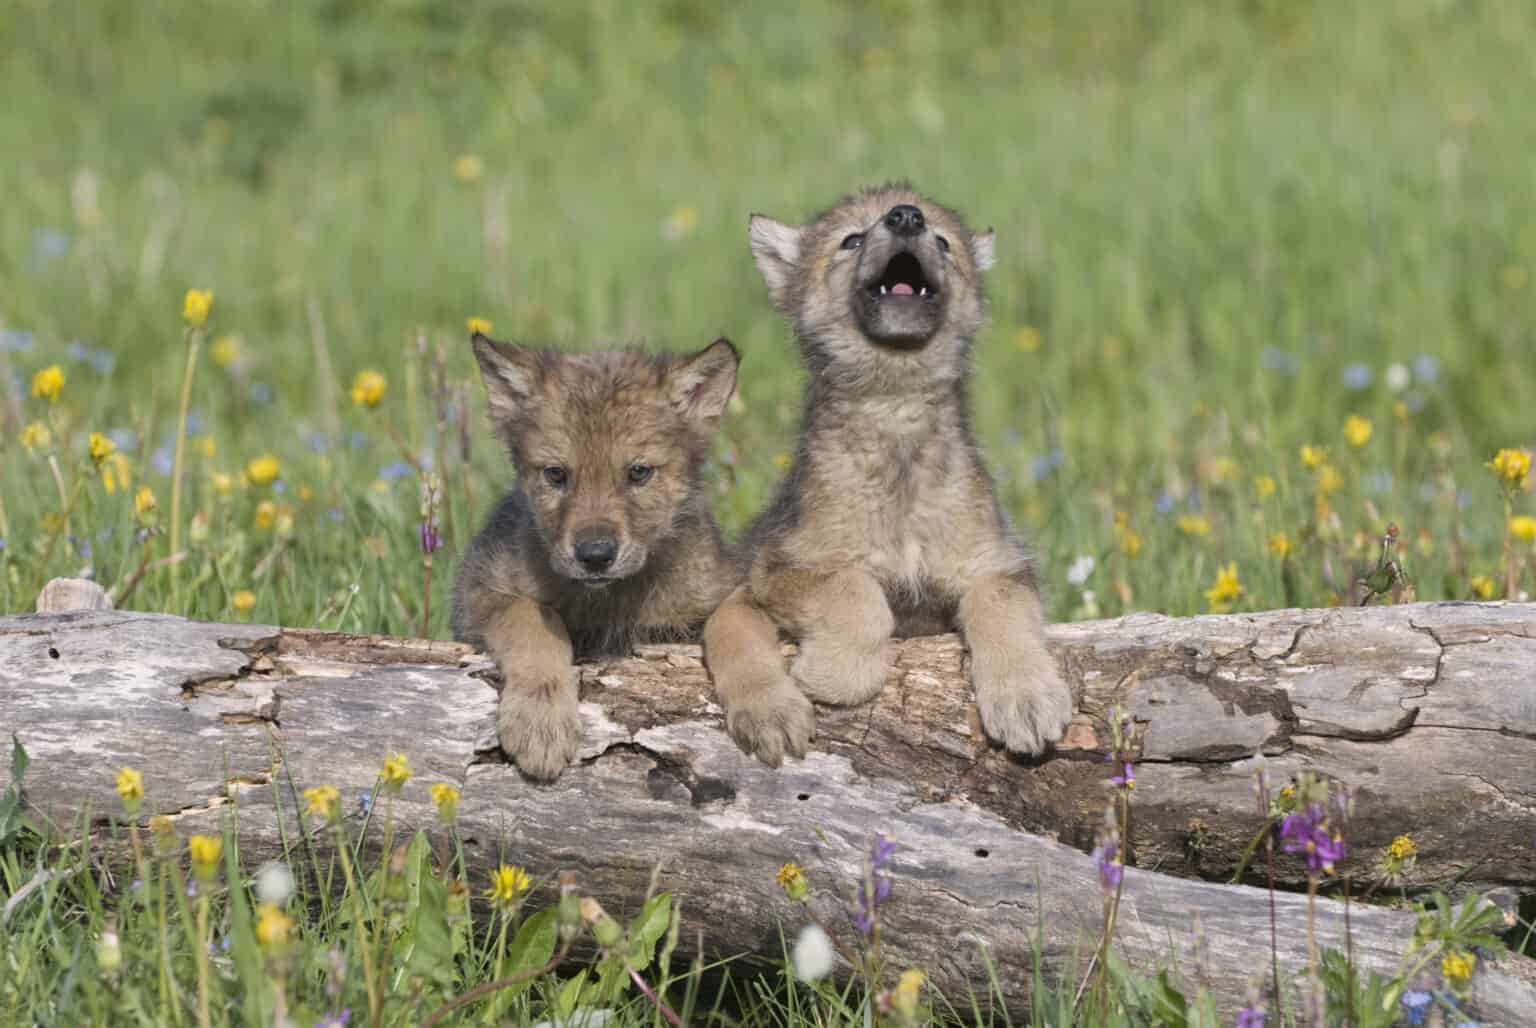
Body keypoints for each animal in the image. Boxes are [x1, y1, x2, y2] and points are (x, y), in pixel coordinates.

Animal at [453, 332, 742, 780]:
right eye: (556, 474)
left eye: (639, 472)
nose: (595, 555)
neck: (610, 601)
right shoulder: (479, 591)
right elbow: (531, 619)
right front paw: (540, 721)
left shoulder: (717, 589)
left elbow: (736, 619)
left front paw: (772, 710)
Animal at [703, 184, 1074, 765]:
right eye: (852, 239)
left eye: (942, 241)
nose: (905, 217)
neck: (896, 416)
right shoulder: (783, 568)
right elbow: (854, 587)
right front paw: (838, 674)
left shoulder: (996, 564)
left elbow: (1001, 607)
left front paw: (1027, 698)